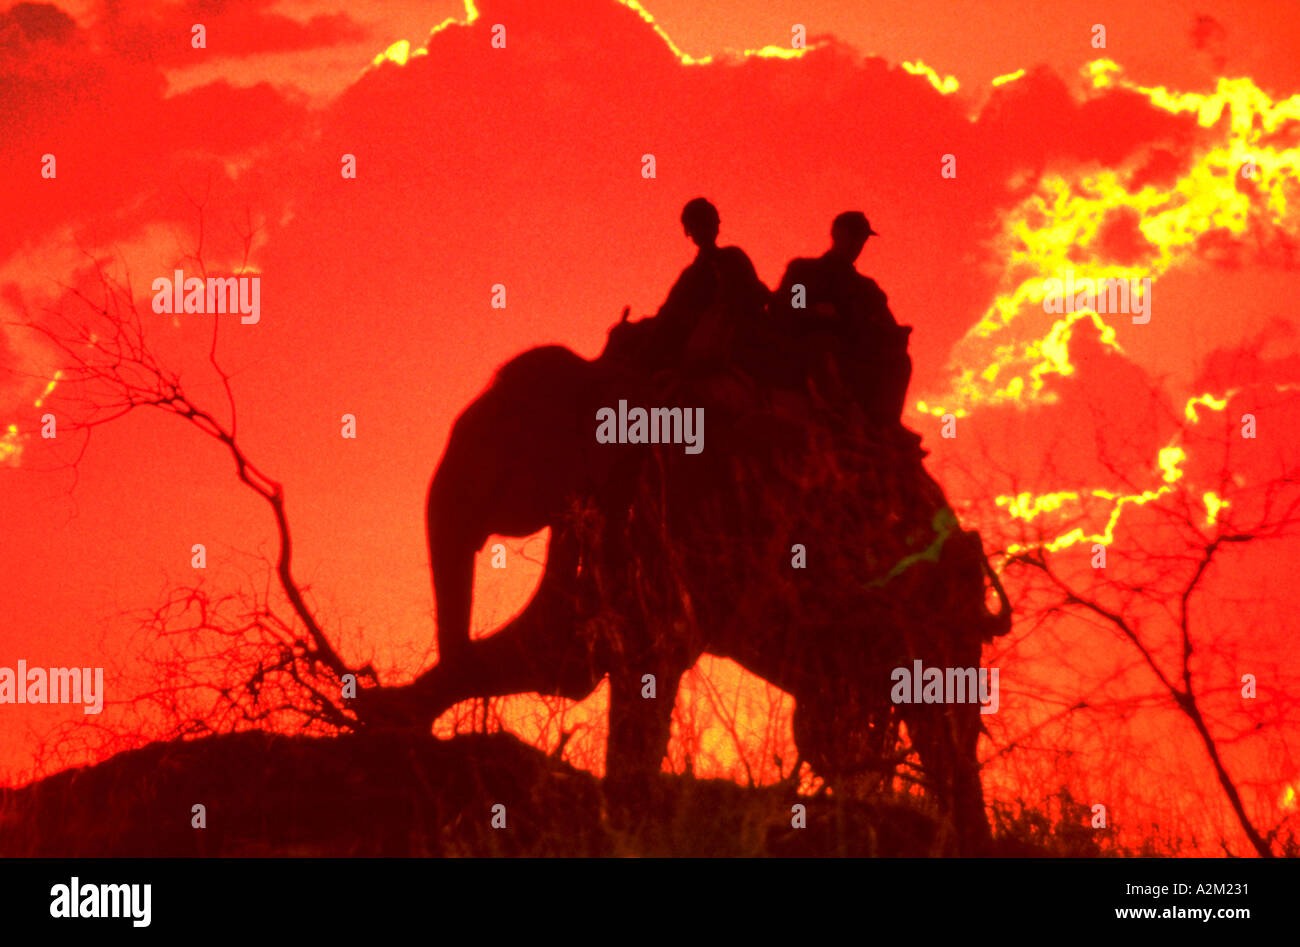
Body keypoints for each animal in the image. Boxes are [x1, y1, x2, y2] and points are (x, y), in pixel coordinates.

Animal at [358, 318, 1011, 852]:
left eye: (507, 438)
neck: (617, 375)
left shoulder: (684, 494)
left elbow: (640, 649)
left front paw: (627, 821)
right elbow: (561, 649)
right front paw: (387, 709)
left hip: (940, 612)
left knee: (942, 729)